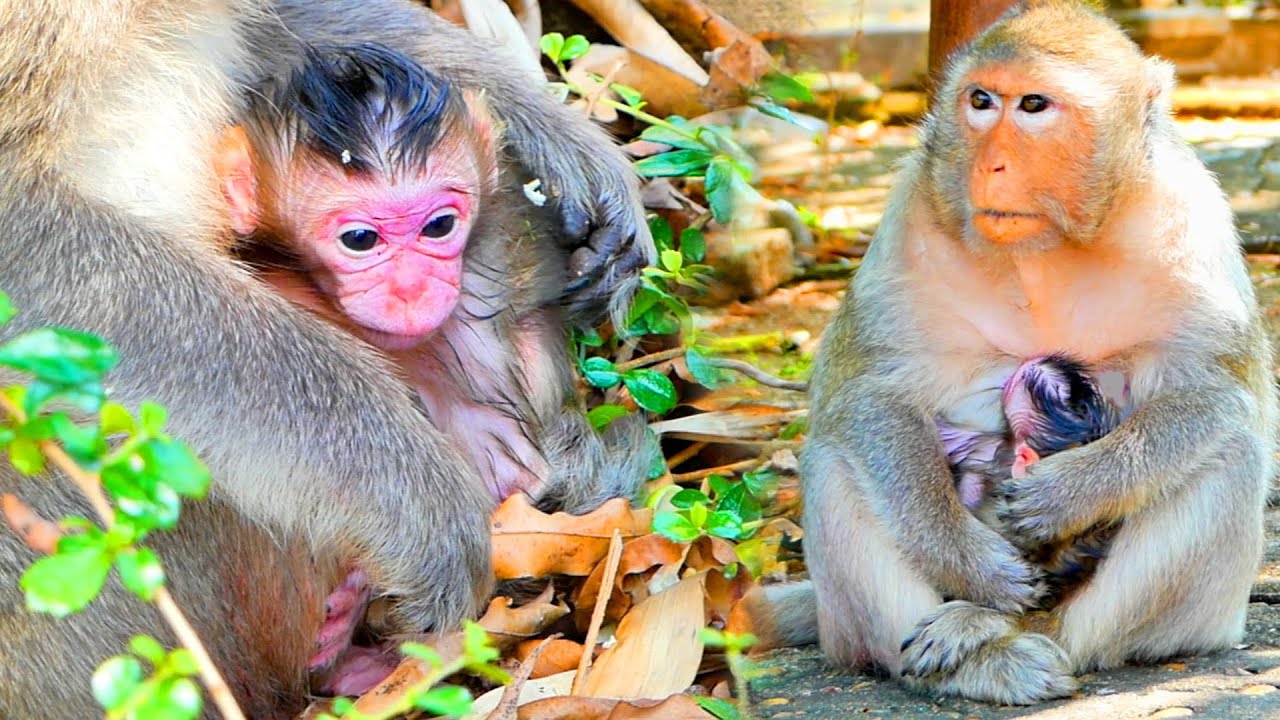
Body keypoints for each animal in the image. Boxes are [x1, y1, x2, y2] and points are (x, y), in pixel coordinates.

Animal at [0, 1, 655, 717]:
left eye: (438, 226)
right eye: (361, 240)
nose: (409, 290)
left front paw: (561, 138)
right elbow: (23, 243)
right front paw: (413, 496)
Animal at [751, 0, 1277, 706]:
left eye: (1032, 105)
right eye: (980, 101)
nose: (990, 165)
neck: (1048, 250)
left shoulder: (1191, 217)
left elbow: (1224, 397)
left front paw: (1070, 492)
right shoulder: (912, 211)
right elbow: (871, 393)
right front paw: (970, 562)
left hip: (1189, 623)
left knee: (1230, 455)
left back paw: (1039, 643)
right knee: (838, 451)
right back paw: (982, 648)